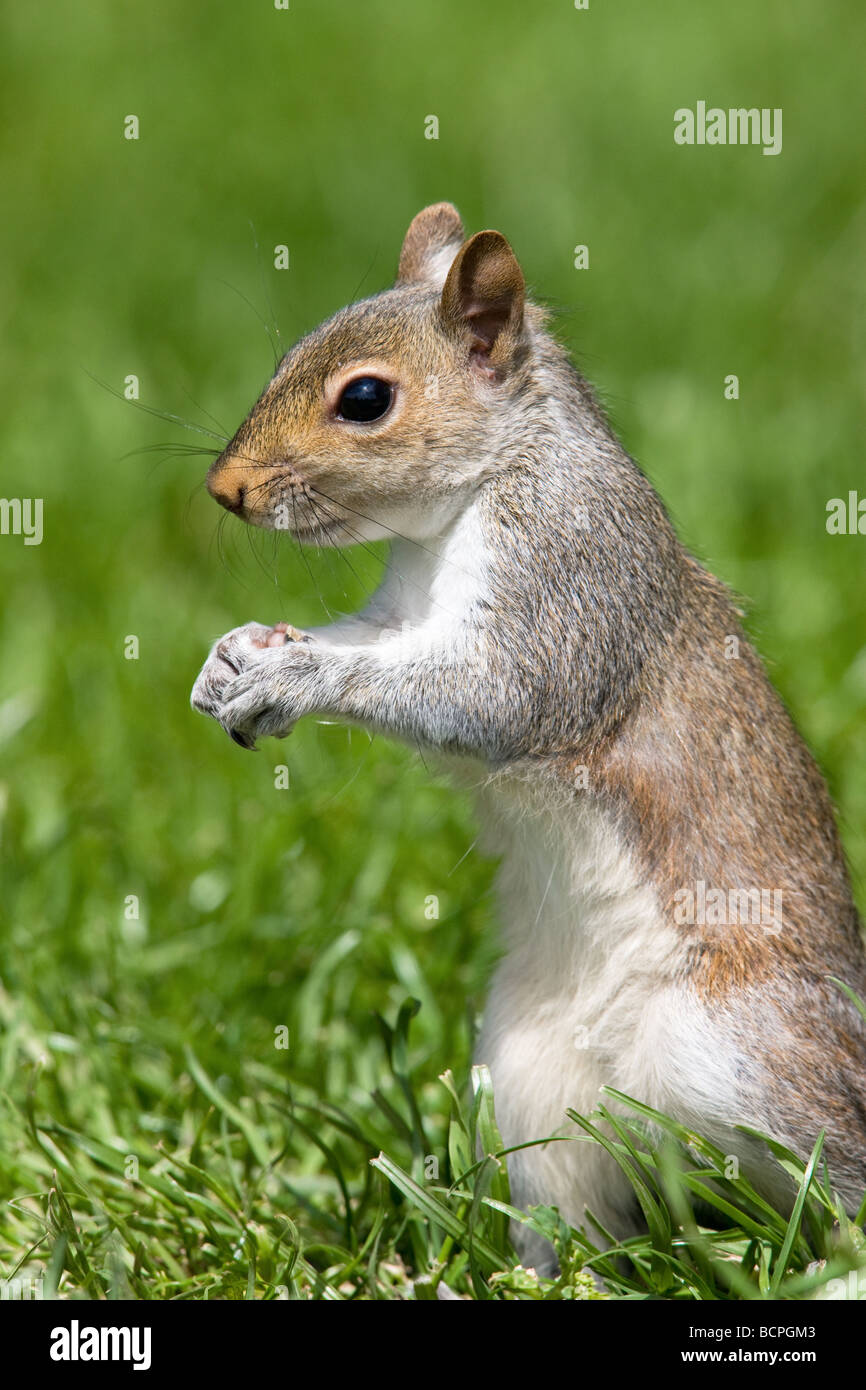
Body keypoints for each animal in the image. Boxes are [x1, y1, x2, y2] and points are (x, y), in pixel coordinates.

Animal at [191, 202, 866, 1263]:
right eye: (290, 351)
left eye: (365, 399)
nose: (228, 490)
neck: (477, 492)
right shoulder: (399, 613)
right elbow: (371, 643)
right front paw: (234, 655)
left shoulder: (568, 579)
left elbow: (493, 696)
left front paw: (290, 674)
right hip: (537, 1087)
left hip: (752, 1051)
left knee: (836, 1169)